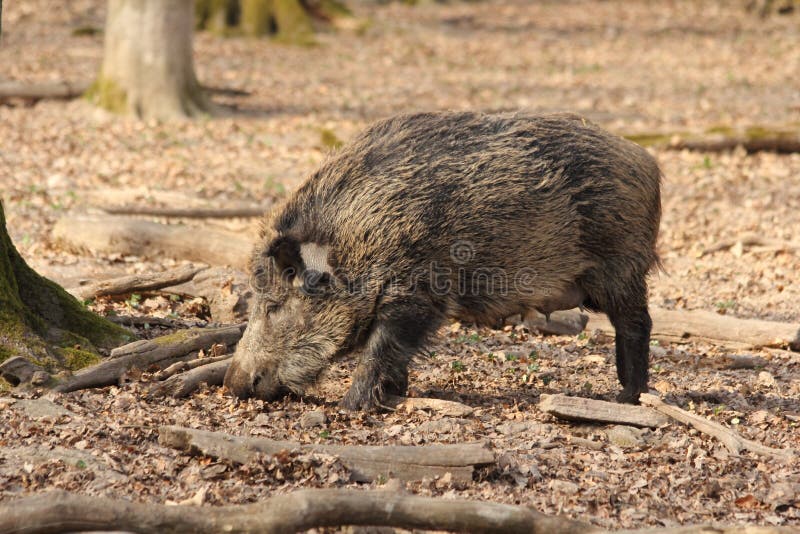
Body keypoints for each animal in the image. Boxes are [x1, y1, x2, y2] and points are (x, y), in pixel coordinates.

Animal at [224, 111, 662, 410]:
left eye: (275, 306)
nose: (233, 383)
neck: (358, 238)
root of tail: (647, 161)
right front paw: (396, 395)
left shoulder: (417, 293)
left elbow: (381, 348)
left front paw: (352, 407)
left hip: (620, 267)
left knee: (637, 324)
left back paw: (628, 397)